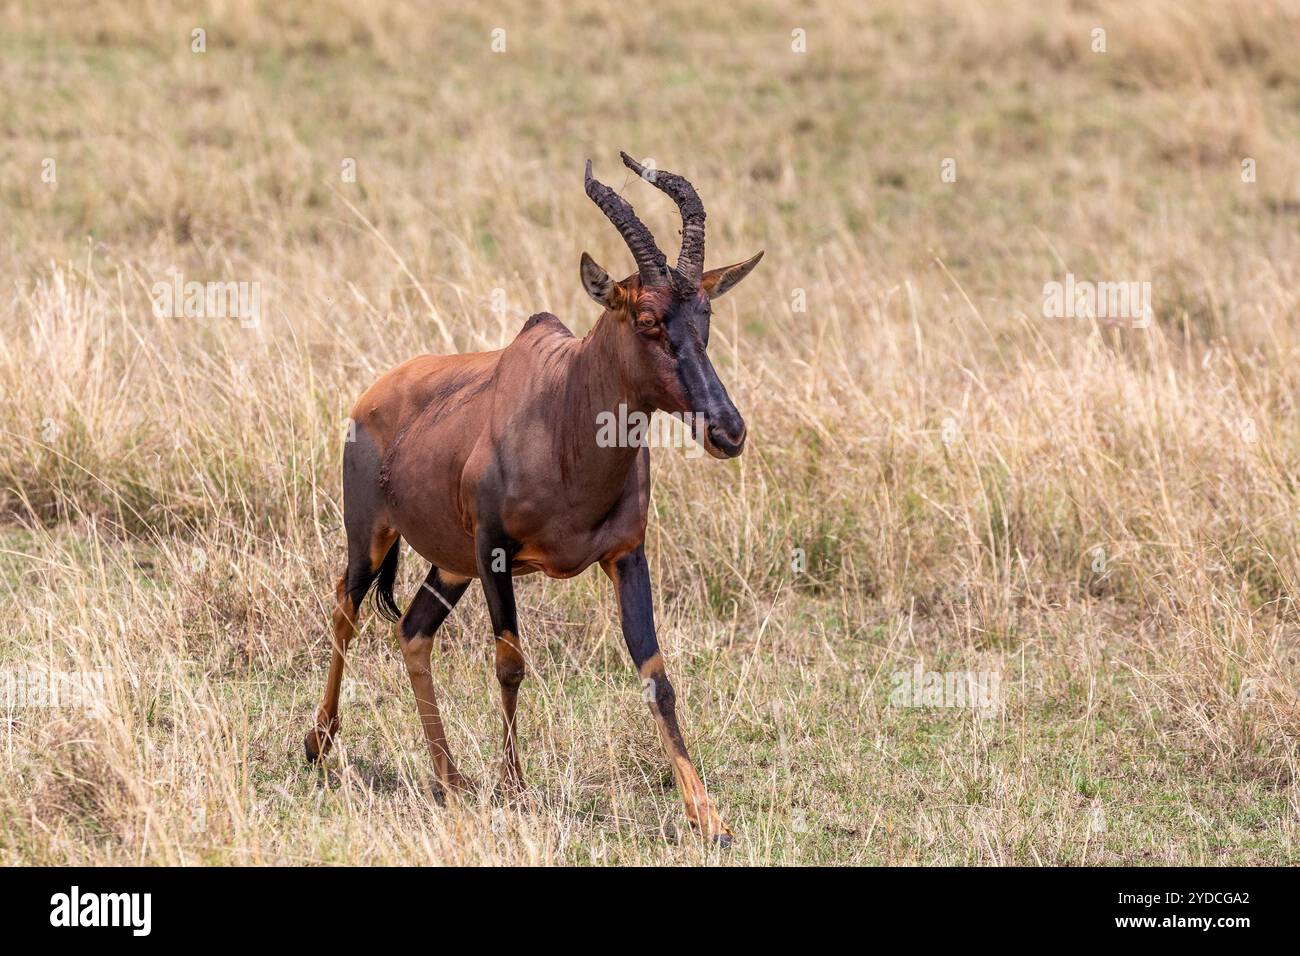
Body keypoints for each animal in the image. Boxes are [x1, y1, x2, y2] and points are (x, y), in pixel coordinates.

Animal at [304, 152, 762, 846]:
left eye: (705, 319)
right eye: (647, 320)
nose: (726, 431)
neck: (562, 410)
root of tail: (374, 393)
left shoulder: (627, 555)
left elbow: (657, 679)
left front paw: (710, 820)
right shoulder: (495, 551)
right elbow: (510, 664)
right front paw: (515, 788)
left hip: (451, 564)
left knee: (412, 630)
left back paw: (451, 779)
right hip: (376, 538)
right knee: (344, 608)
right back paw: (319, 742)